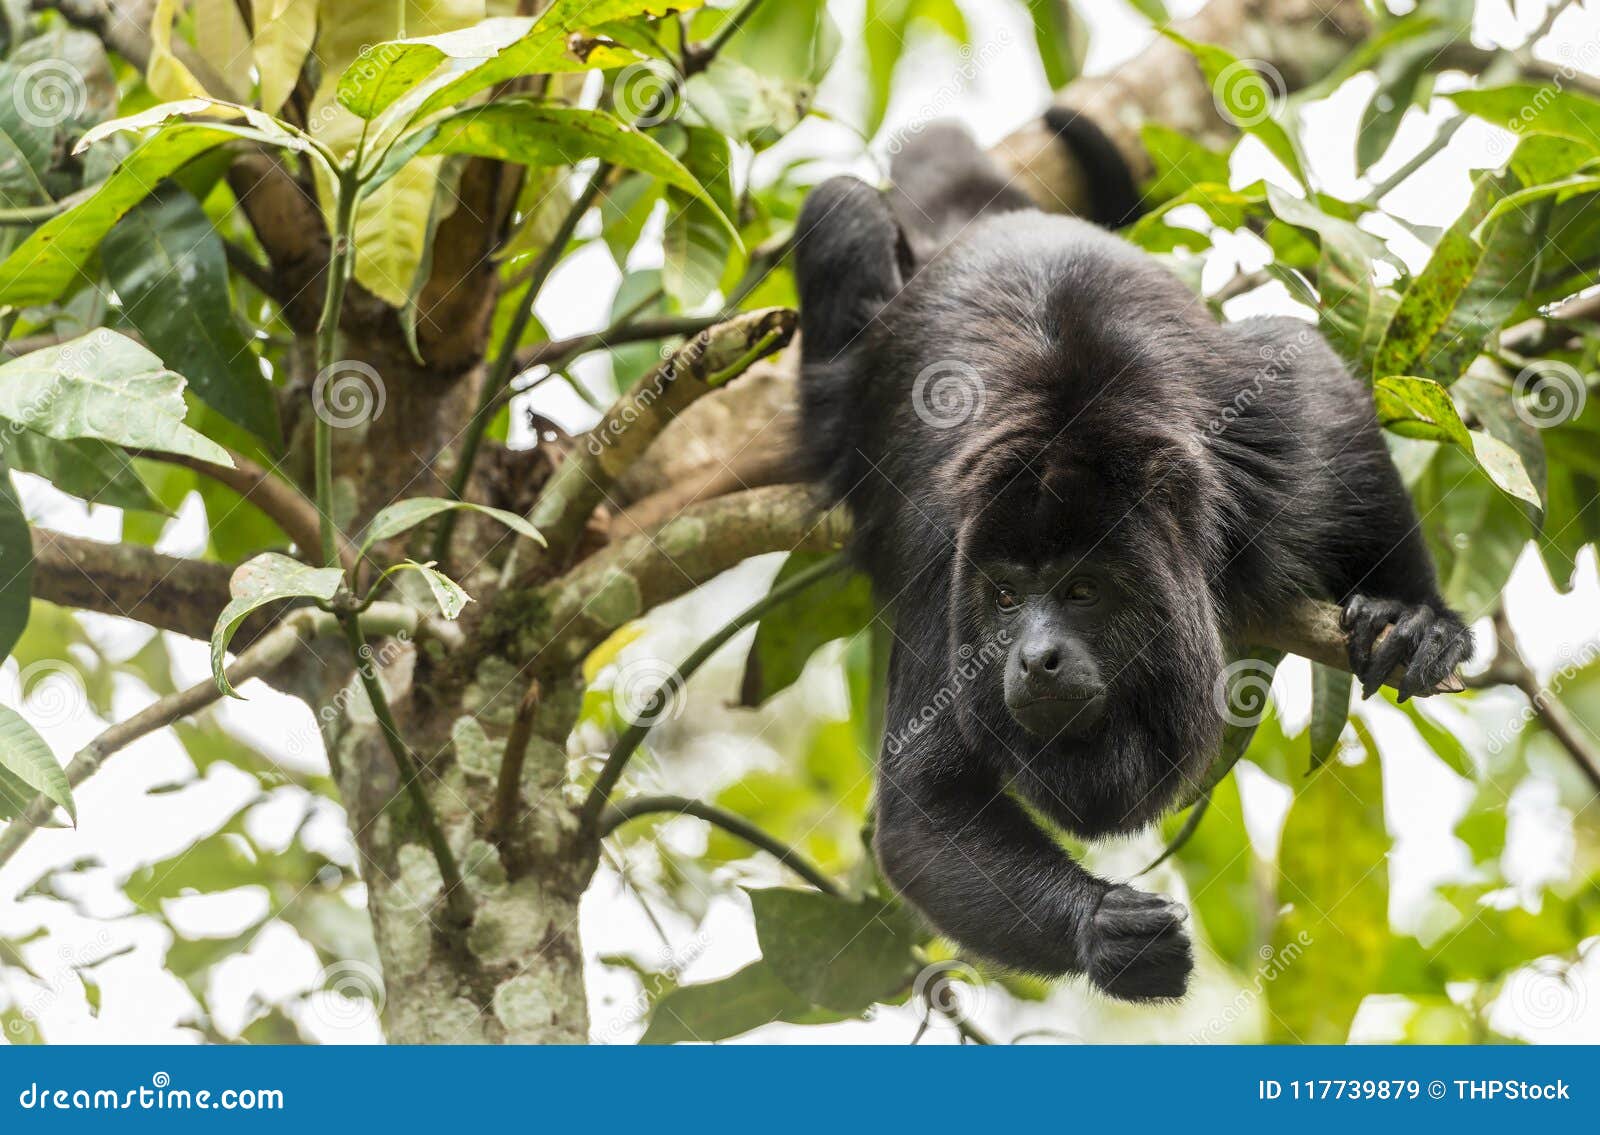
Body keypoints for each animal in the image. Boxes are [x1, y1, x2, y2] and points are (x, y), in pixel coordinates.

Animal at [790, 121, 1471, 1001]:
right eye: (1005, 598)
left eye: (1083, 589)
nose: (1034, 657)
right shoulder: (941, 551)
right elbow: (922, 806)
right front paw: (1100, 928)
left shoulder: (1260, 442)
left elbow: (1305, 368)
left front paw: (1411, 610)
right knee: (841, 205)